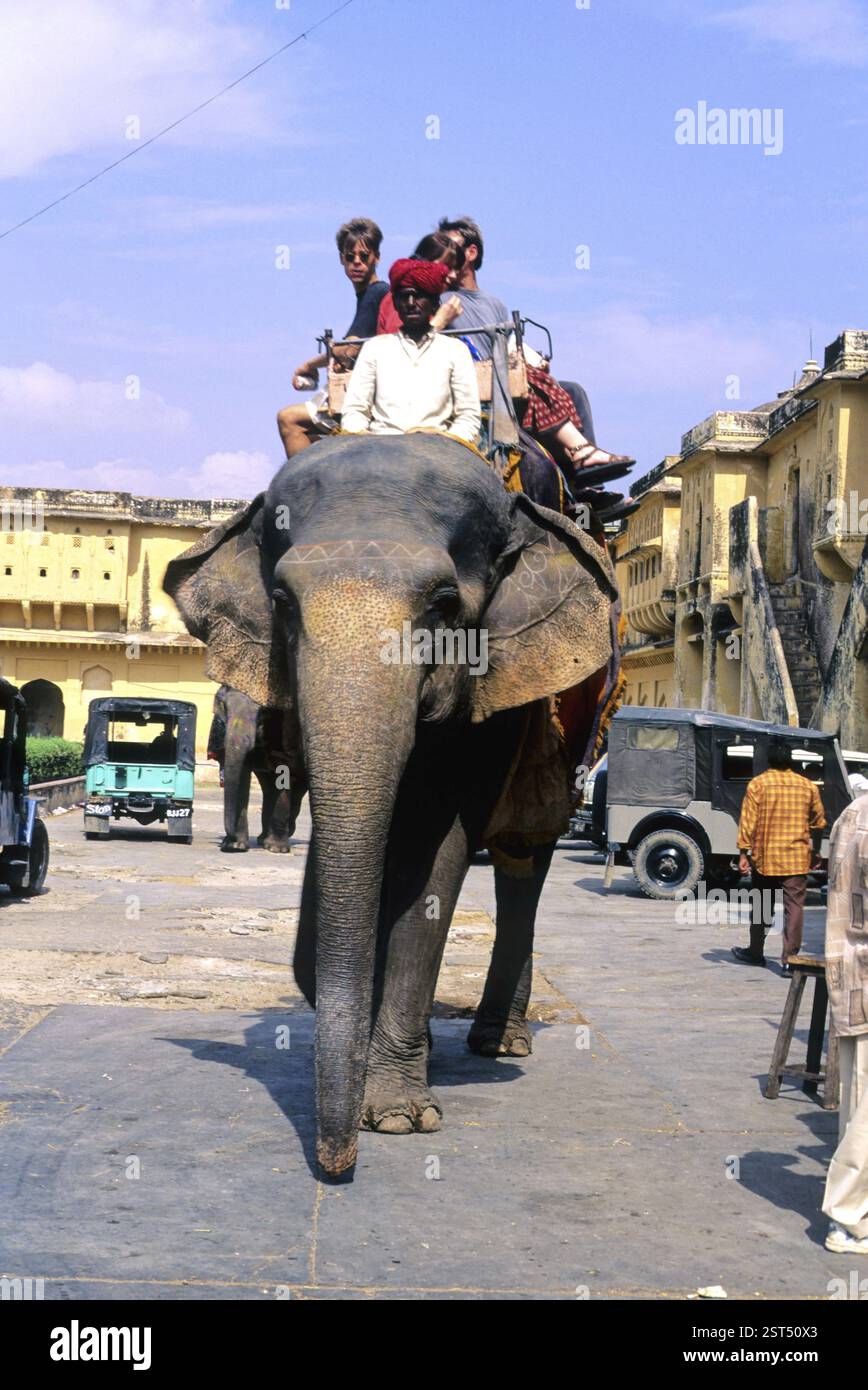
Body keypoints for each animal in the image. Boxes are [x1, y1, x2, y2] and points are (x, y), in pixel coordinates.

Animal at [207, 685, 305, 853]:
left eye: (263, 712)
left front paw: (276, 849)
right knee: (270, 788)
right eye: (224, 707)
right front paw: (235, 846)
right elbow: (242, 777)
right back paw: (263, 838)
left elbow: (284, 773)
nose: (229, 836)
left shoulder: (286, 732)